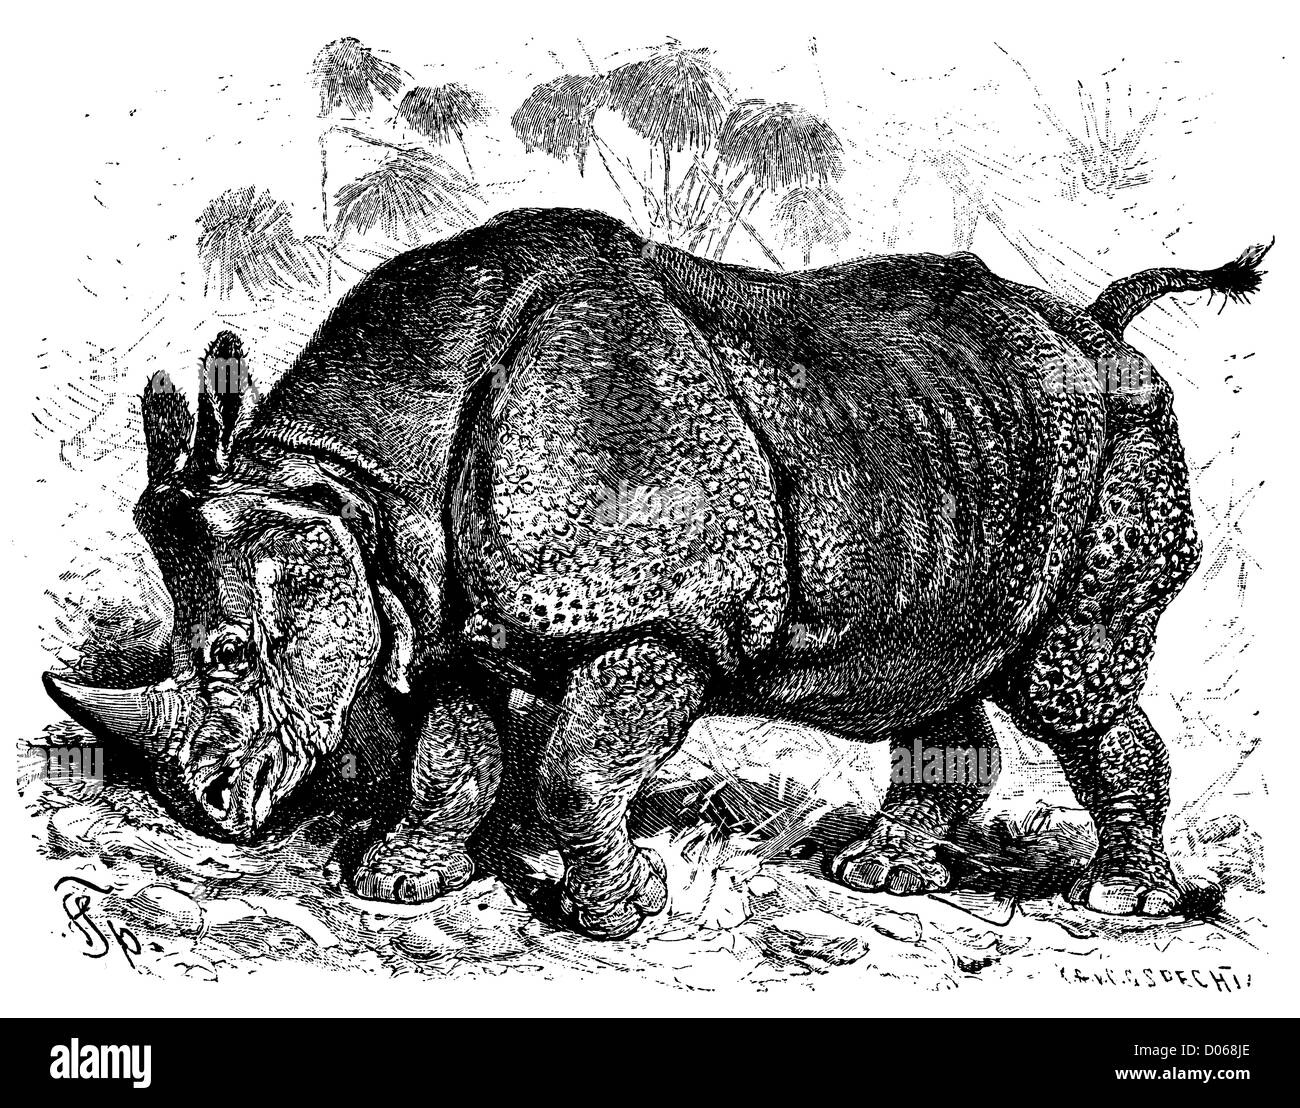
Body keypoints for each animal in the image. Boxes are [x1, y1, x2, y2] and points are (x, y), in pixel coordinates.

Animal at [45, 208, 1269, 938]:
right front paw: (400, 883)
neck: (342, 488)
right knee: (931, 669)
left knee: (1069, 686)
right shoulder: (446, 613)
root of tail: (1097, 327)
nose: (212, 810)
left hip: (1123, 434)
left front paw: (624, 912)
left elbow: (578, 771)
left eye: (232, 651)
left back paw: (1120, 902)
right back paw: (877, 879)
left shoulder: (661, 619)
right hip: (951, 450)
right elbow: (452, 757)